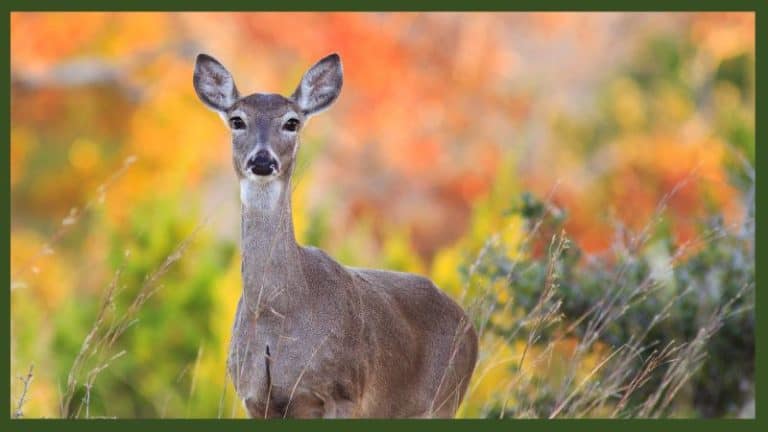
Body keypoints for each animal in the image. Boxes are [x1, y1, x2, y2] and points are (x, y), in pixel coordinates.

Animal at [192, 52, 478, 418]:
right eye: (237, 120)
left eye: (292, 122)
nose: (262, 160)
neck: (278, 312)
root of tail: (470, 326)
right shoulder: (254, 397)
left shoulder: (343, 390)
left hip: (445, 399)